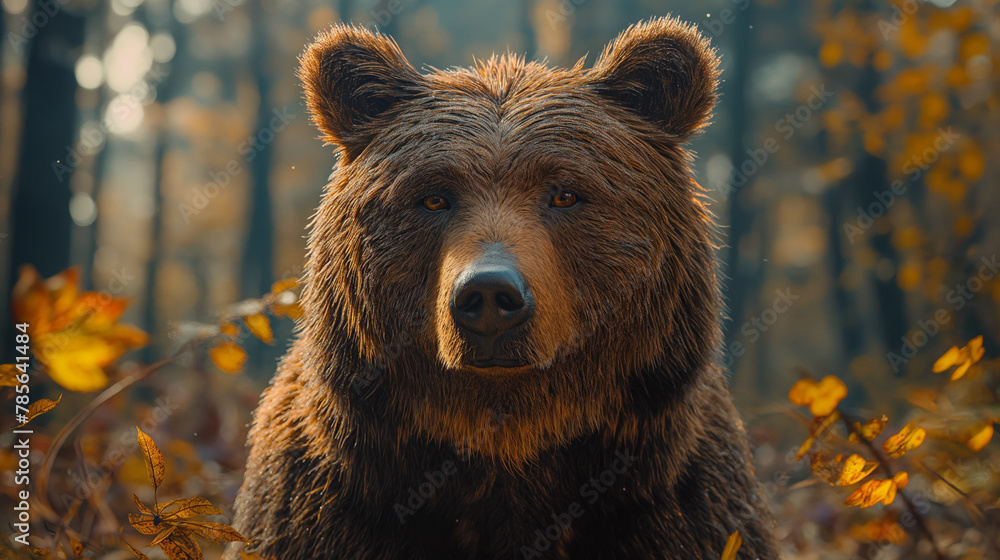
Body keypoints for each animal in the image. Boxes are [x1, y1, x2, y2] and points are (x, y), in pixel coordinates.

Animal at [229, 16, 778, 560]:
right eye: (433, 197)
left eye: (566, 193)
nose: (491, 294)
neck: (508, 441)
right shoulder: (326, 508)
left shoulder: (675, 508)